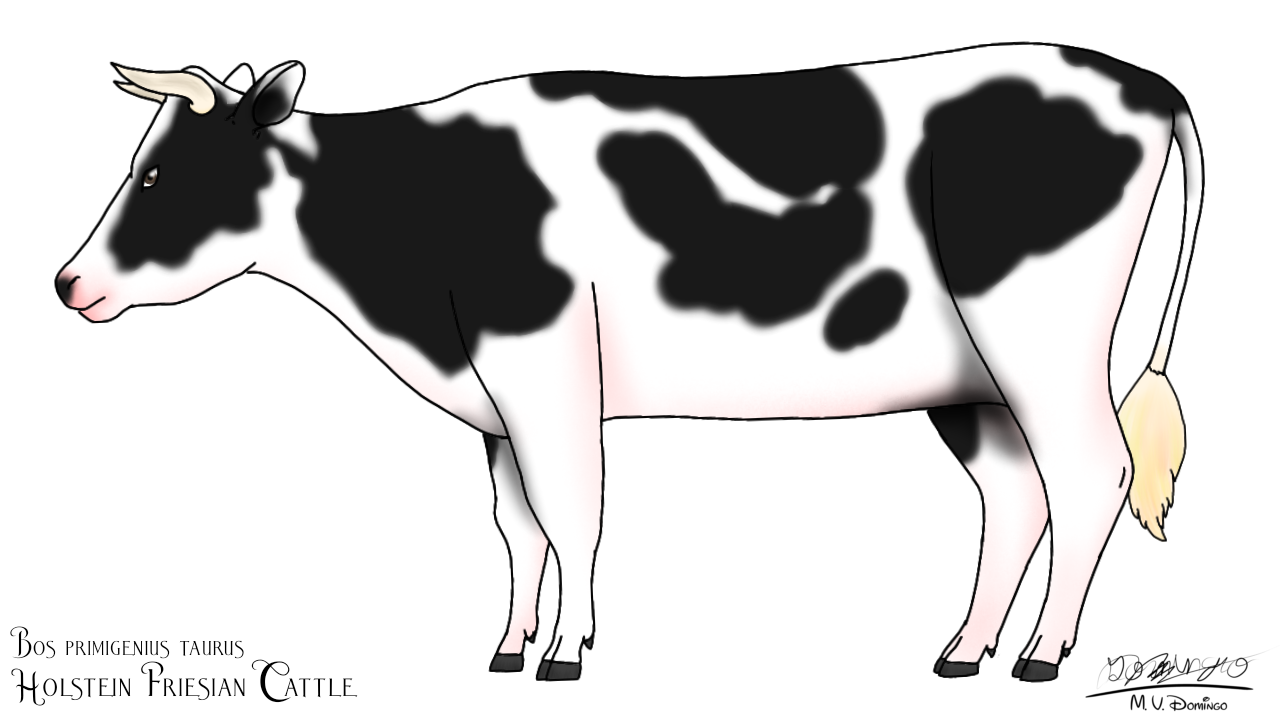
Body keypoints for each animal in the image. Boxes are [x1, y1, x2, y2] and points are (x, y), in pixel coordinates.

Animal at [54, 43, 1202, 682]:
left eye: (157, 177)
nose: (67, 284)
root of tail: (1144, 83)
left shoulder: (546, 365)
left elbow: (572, 510)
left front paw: (566, 653)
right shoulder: (495, 399)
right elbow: (517, 526)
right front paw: (510, 646)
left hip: (1042, 337)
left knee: (1087, 473)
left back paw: (1040, 656)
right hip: (972, 380)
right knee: (1014, 495)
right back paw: (962, 653)